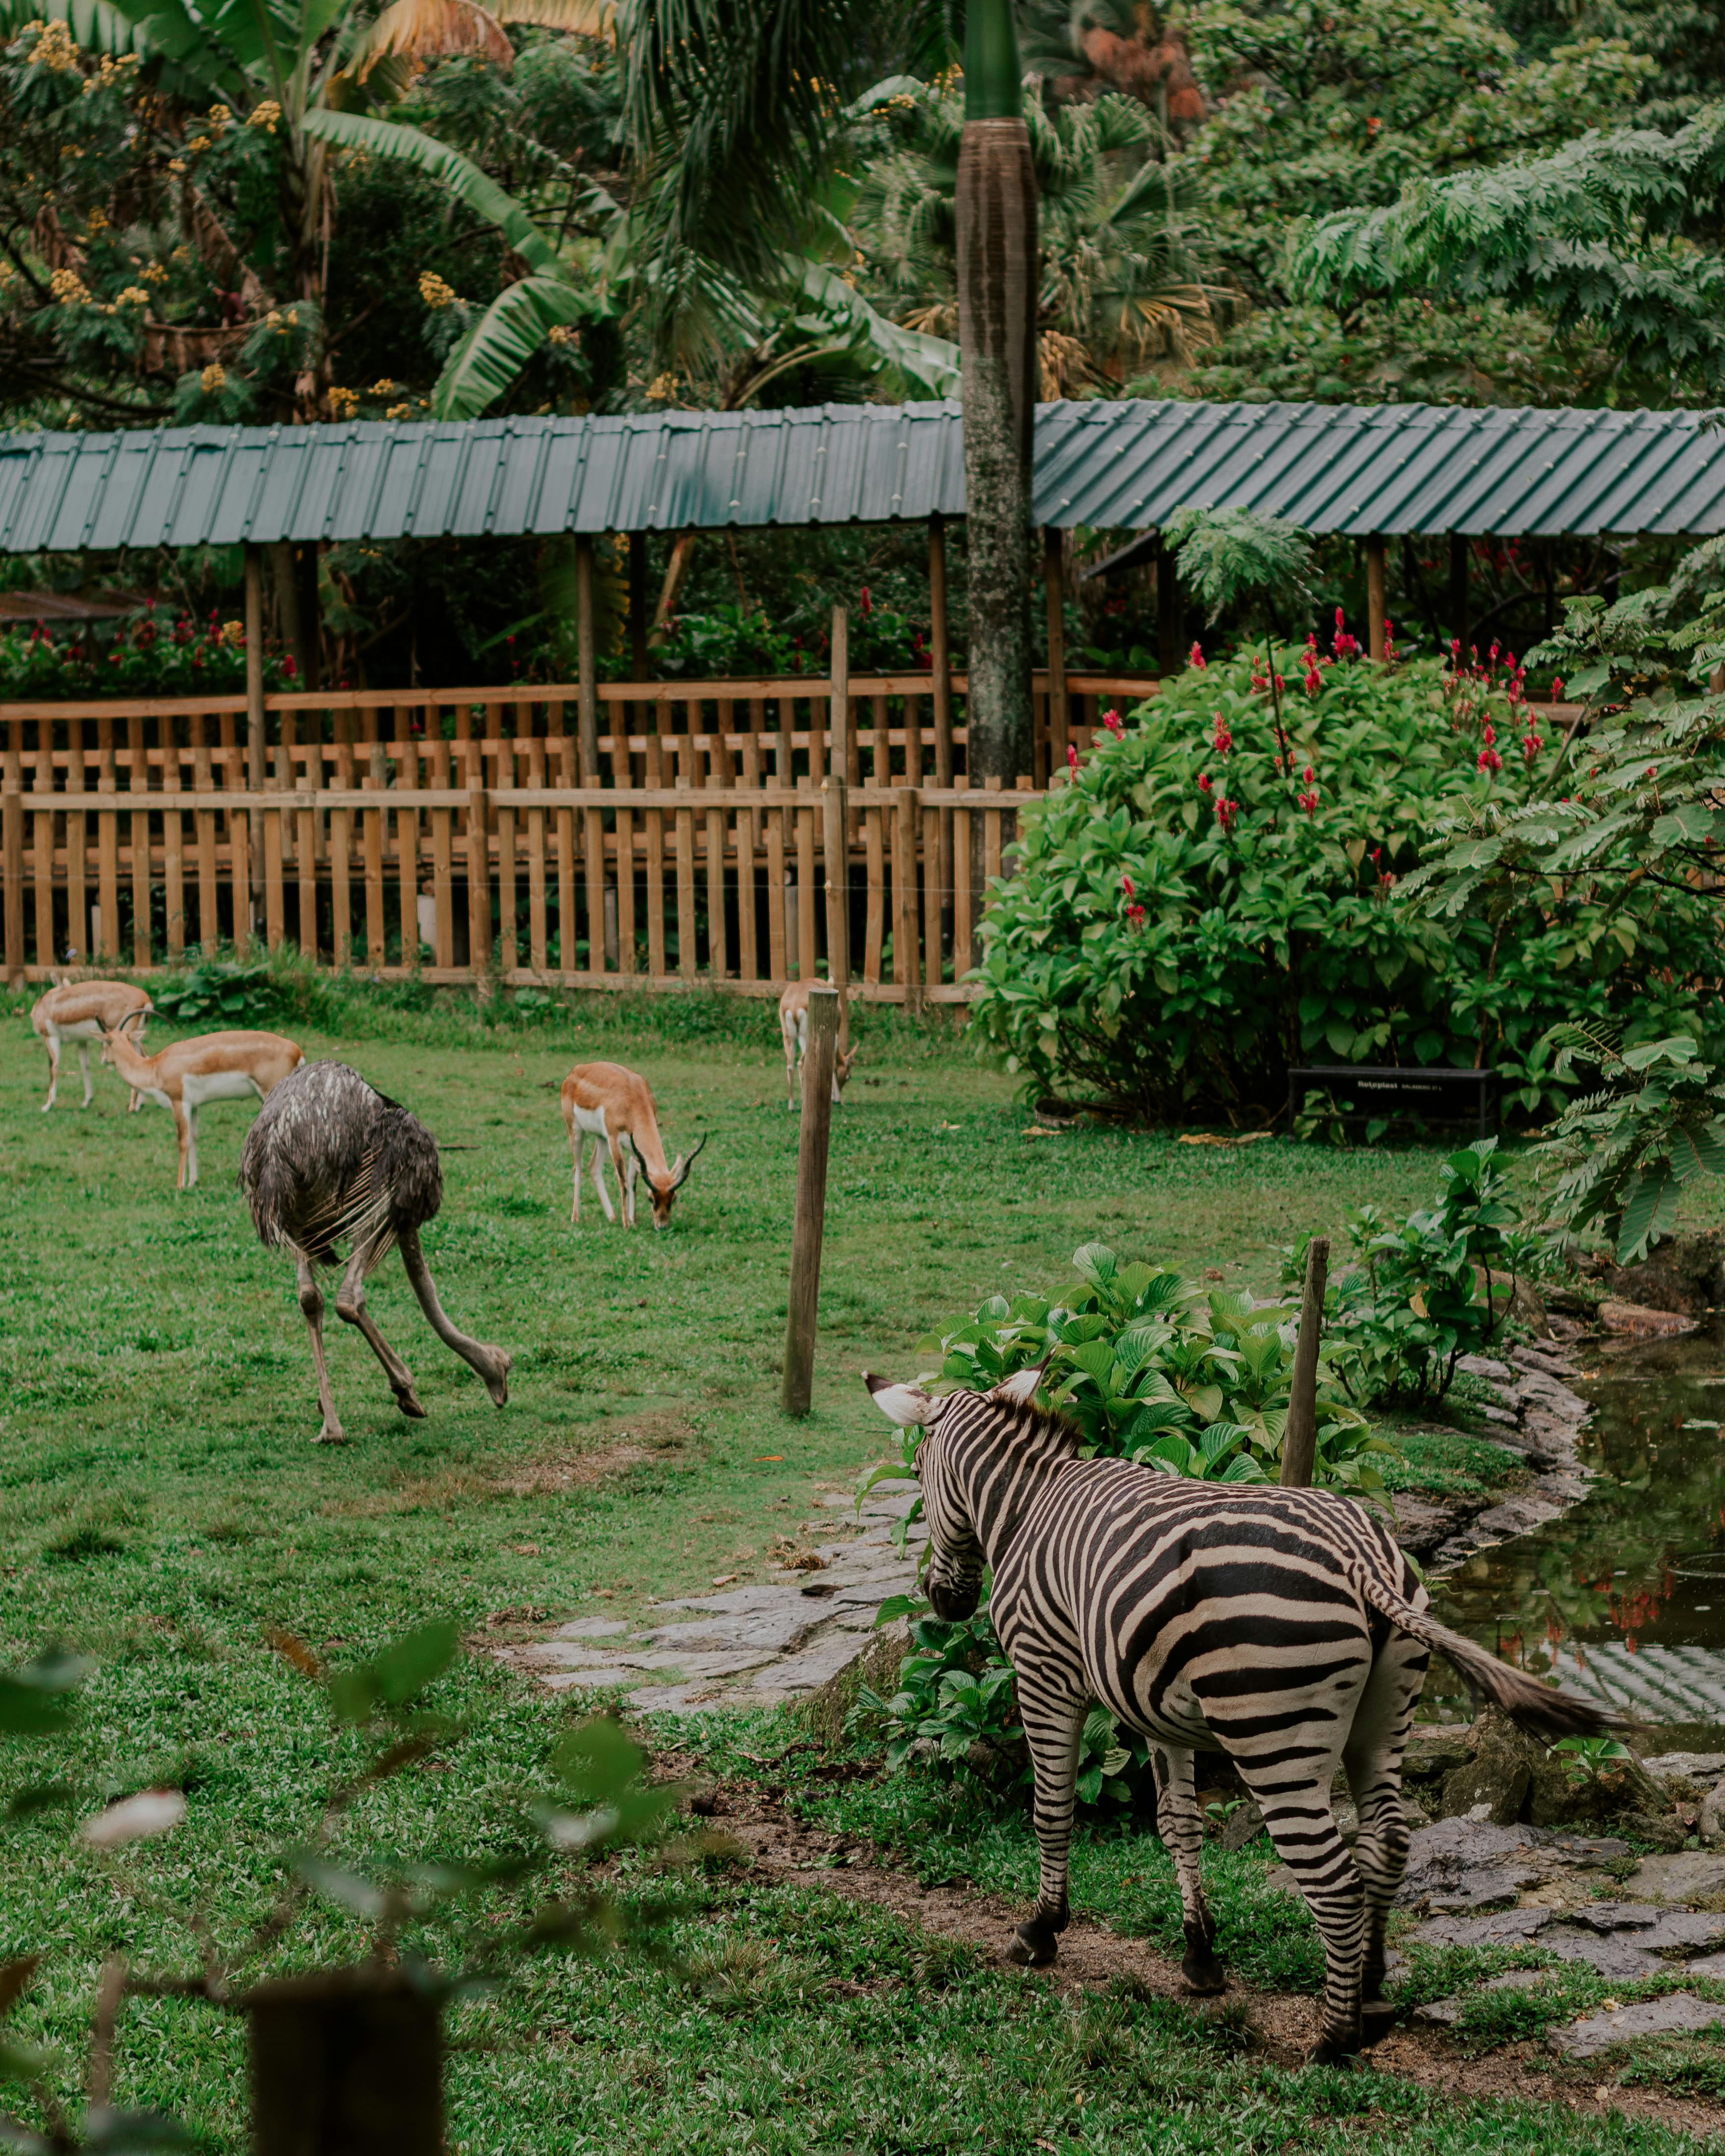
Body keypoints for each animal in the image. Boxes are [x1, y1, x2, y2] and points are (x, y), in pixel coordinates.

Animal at [863, 1367, 1617, 2062]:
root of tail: (1362, 1560)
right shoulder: (1154, 1706)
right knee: (1387, 1842)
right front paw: (1200, 1958)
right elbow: (1180, 1826)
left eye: (917, 1474)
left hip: (1272, 1734)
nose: (945, 1602)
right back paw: (1372, 1993)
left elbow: (1052, 1810)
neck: (1026, 1505)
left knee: (1334, 1879)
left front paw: (1041, 1930)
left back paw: (1334, 2040)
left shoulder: (1044, 1671)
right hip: (1384, 1720)